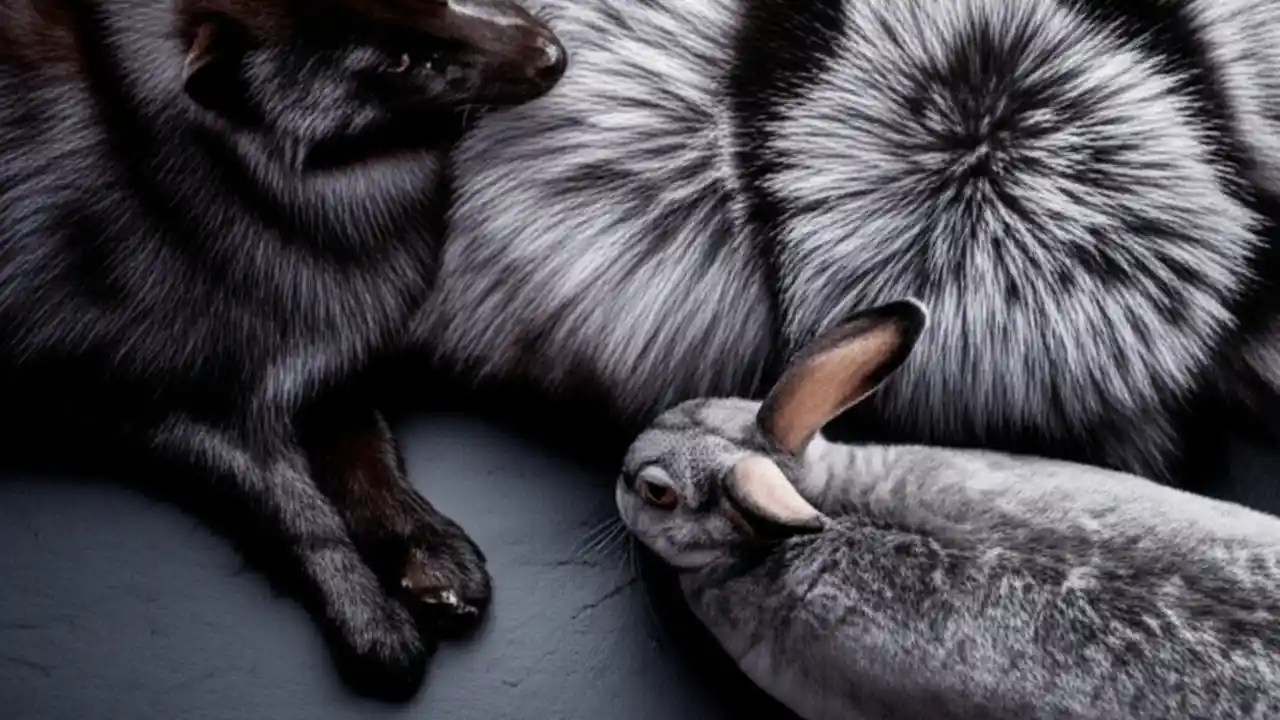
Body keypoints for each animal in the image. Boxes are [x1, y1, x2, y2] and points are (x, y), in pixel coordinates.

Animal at [0, 0, 565, 697]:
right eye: (399, 63)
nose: (551, 54)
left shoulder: (324, 354)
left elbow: (371, 453)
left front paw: (430, 551)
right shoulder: (163, 398)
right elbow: (297, 509)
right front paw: (370, 621)